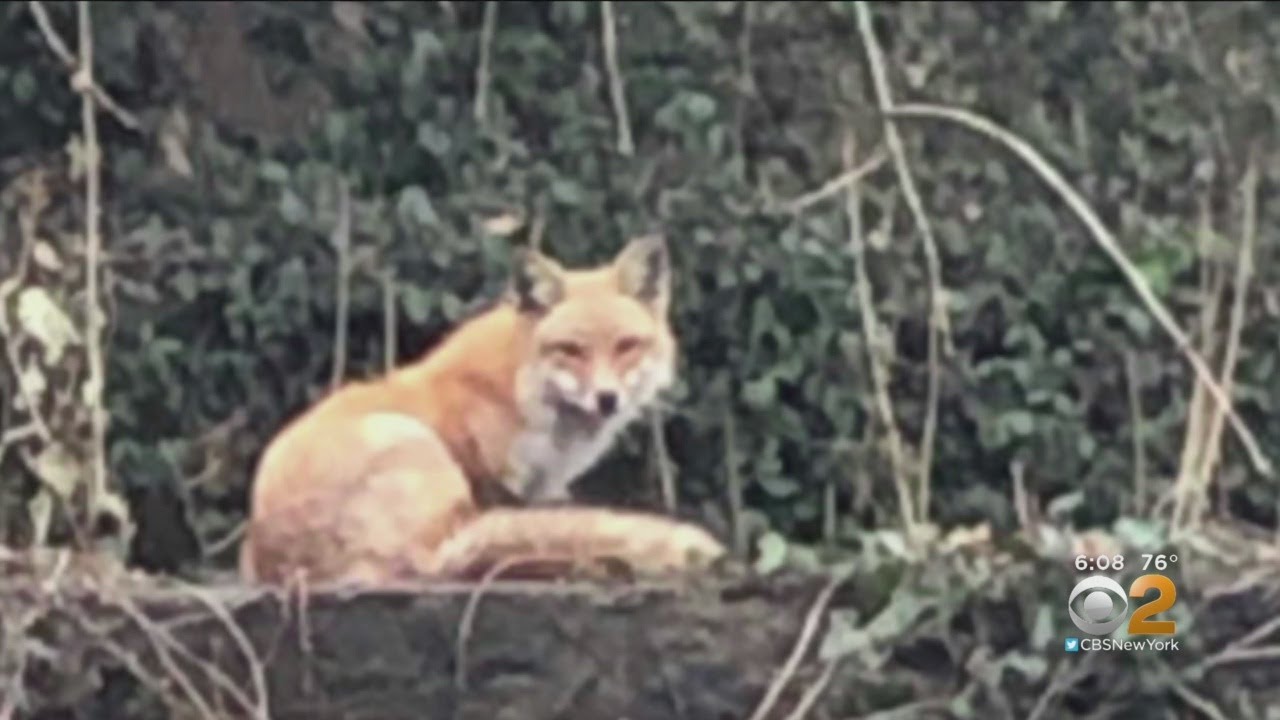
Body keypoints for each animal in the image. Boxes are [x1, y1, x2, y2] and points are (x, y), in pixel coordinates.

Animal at [239, 234, 727, 585]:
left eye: (626, 346)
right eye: (571, 350)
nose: (607, 399)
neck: (523, 394)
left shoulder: (537, 490)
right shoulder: (496, 482)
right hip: (418, 450)